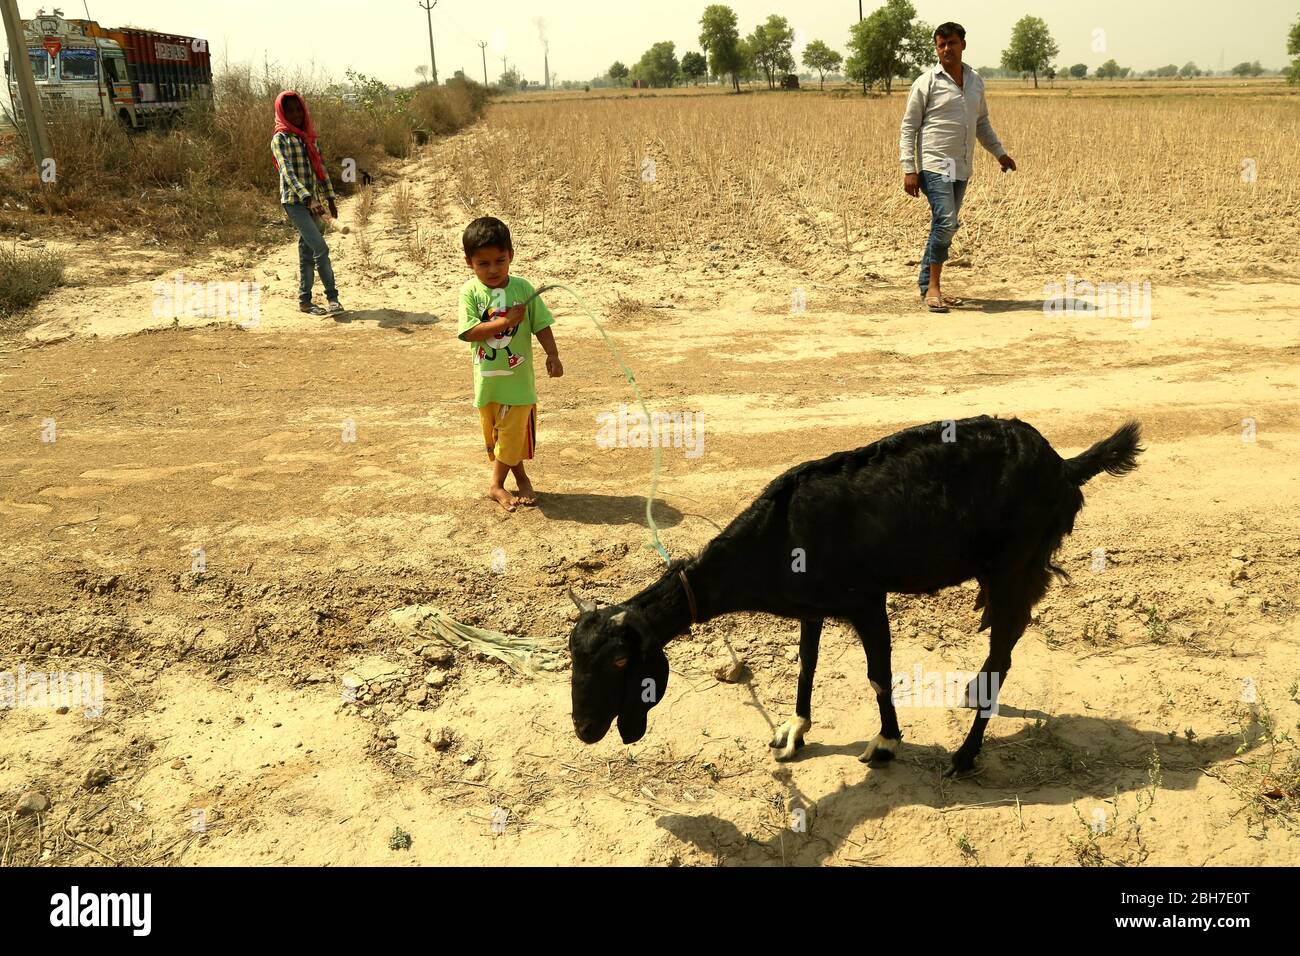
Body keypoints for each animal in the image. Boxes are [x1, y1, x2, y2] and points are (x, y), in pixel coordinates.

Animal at [568, 415, 1143, 775]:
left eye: (621, 661)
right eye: (574, 657)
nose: (584, 728)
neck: (779, 533)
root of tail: (1063, 466)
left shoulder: (866, 600)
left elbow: (878, 673)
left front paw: (886, 743)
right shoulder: (812, 608)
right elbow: (807, 663)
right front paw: (793, 731)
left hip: (1015, 564)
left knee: (1003, 650)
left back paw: (964, 755)